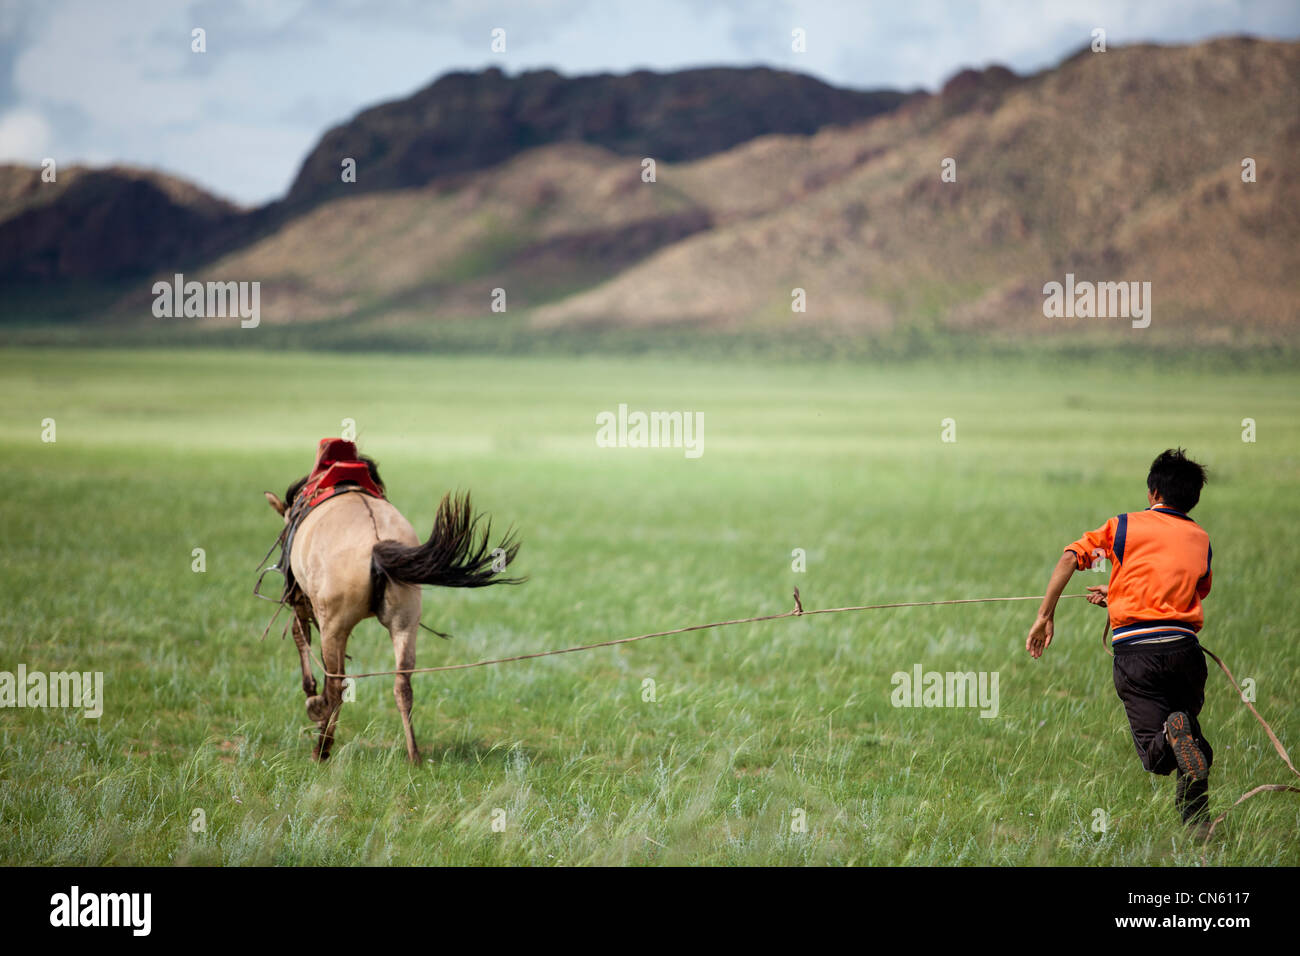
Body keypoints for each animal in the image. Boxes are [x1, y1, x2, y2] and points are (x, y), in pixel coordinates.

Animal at [262, 442, 522, 762]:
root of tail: (376, 544)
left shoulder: (299, 597)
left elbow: (301, 639)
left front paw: (313, 699)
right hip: (404, 623)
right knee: (403, 685)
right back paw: (414, 757)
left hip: (336, 625)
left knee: (337, 683)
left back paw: (322, 747)